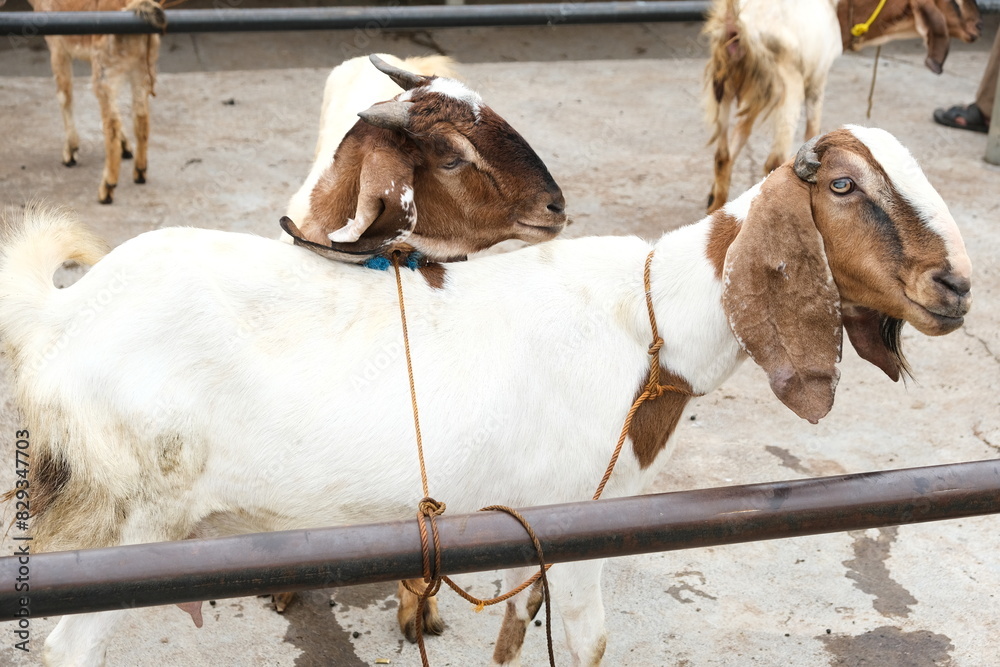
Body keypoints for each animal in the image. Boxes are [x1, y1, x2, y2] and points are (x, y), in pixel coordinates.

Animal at [0, 126, 972, 666]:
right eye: (844, 186)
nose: (956, 286)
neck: (647, 319)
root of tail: (66, 311)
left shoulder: (523, 521)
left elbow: (512, 637)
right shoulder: (580, 520)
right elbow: (587, 641)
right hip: (126, 517)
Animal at [11, 0, 165, 204]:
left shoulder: (58, 47)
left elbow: (64, 95)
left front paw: (70, 152)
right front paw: (126, 147)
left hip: (107, 69)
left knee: (112, 122)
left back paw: (107, 188)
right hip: (142, 69)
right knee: (141, 116)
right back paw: (139, 172)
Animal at [703, 0, 981, 212]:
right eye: (956, 4)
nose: (978, 26)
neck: (840, 8)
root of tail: (736, 20)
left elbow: (739, 140)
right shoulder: (816, 78)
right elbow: (812, 130)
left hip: (723, 86)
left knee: (722, 156)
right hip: (789, 87)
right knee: (773, 160)